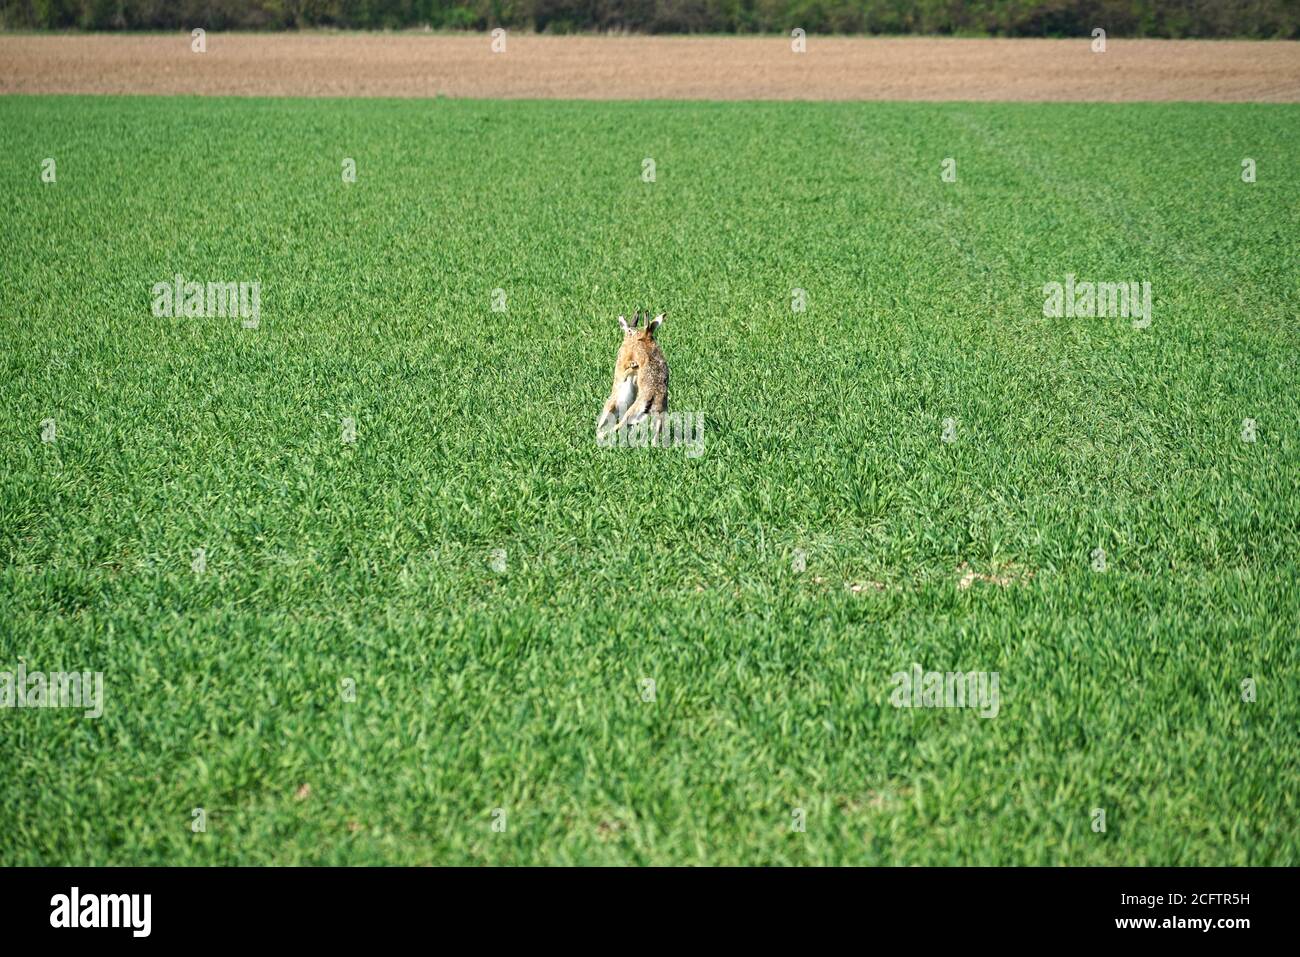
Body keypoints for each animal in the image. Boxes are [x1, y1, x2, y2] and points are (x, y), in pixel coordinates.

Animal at [596, 310, 669, 444]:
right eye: (631, 331)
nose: (635, 336)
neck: (647, 341)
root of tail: (651, 403)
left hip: (630, 412)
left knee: (618, 426)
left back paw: (603, 436)